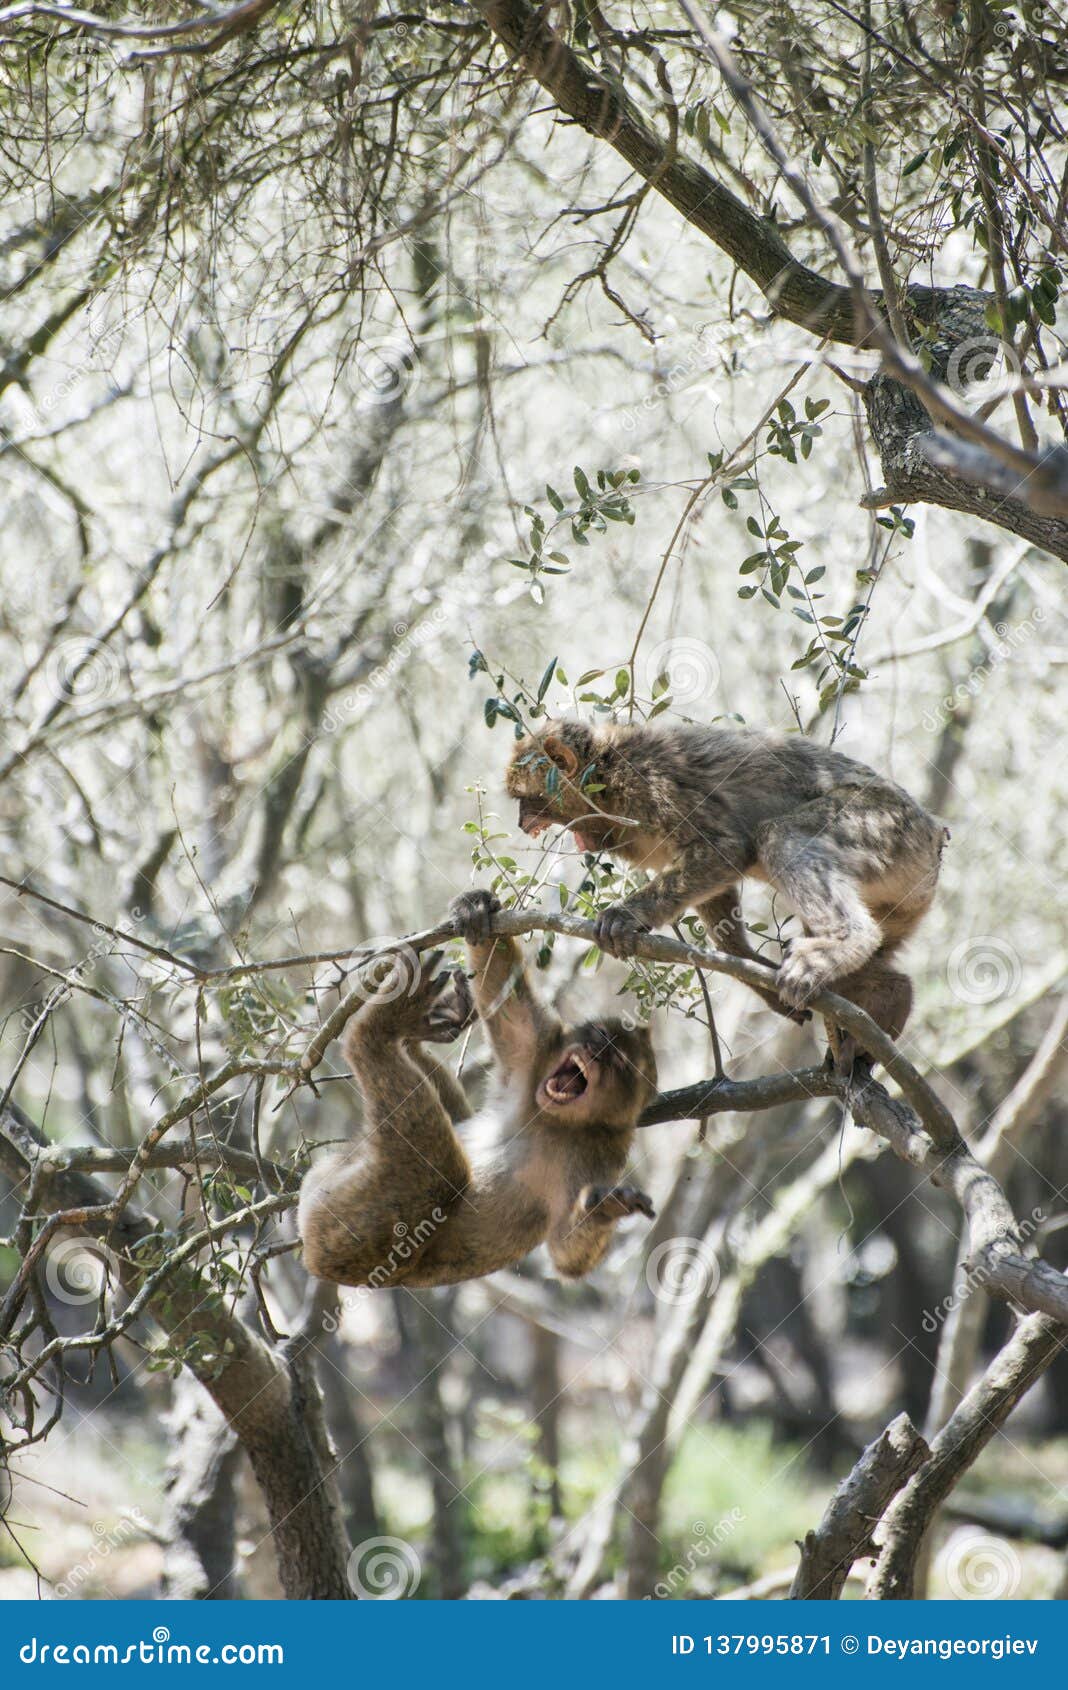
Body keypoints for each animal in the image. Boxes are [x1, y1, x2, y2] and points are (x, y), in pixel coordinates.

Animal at [298, 891, 658, 1290]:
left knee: (443, 1178)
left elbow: (568, 1255)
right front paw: (476, 910)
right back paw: (415, 1030)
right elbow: (508, 1005)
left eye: (619, 1060)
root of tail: (315, 1261)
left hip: (352, 1238)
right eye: (600, 1035)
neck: (556, 1121)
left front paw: (606, 1210)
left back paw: (375, 1034)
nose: (596, 1050)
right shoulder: (535, 1060)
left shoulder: (601, 1153)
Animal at [504, 717, 947, 1060]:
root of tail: (933, 834)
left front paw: (626, 915)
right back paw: (890, 996)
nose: (522, 823)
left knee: (781, 835)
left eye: (528, 799)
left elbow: (726, 849)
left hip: (885, 827)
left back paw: (844, 943)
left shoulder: (650, 786)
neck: (607, 770)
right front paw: (748, 965)